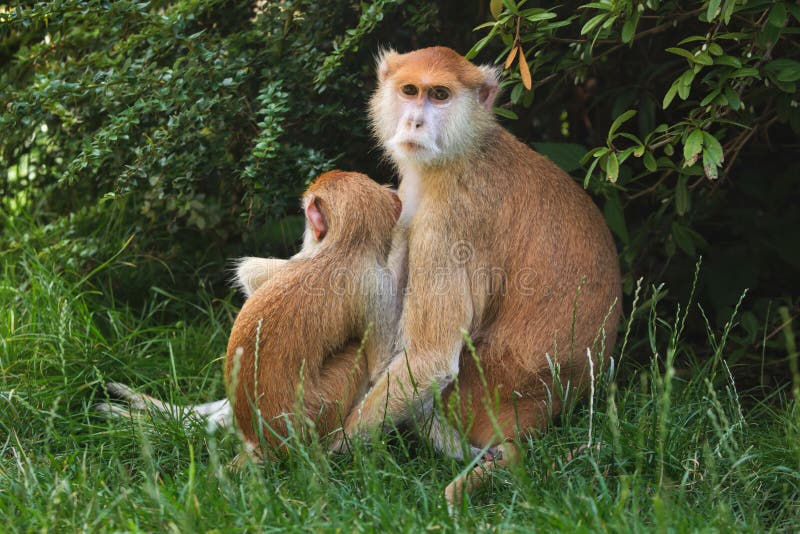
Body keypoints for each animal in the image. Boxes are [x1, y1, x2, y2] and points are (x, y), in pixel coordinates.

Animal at [225, 170, 403, 452]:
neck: (345, 245)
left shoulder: (304, 258)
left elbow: (250, 274)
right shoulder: (378, 285)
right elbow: (378, 369)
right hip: (320, 412)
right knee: (355, 352)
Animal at [332, 47, 622, 505]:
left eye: (440, 95)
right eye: (410, 90)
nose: (414, 122)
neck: (465, 149)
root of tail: (538, 408)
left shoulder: (449, 220)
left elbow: (431, 359)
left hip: (476, 393)